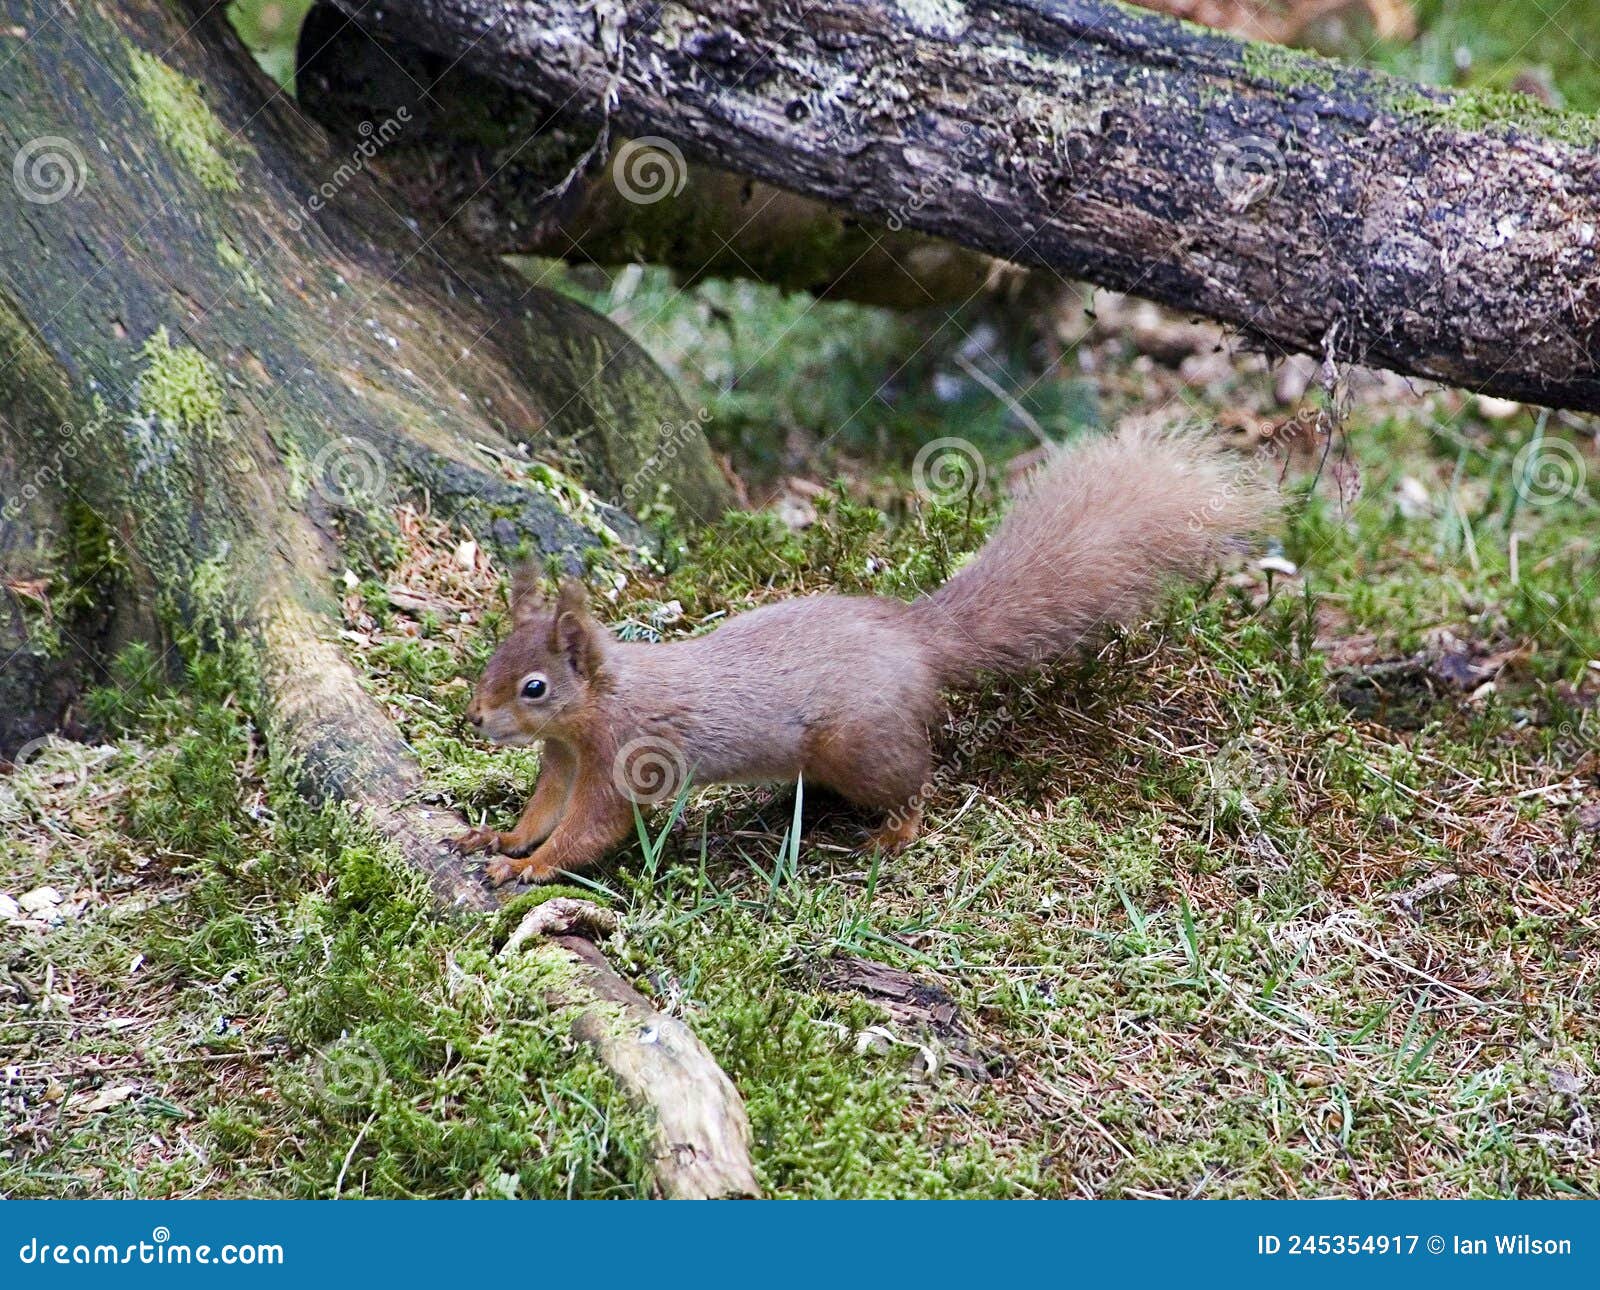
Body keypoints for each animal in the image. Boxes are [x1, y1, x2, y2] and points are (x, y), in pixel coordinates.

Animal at [452, 426, 1274, 885]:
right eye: (492, 661)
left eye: (533, 687)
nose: (476, 720)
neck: (595, 706)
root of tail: (914, 637)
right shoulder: (562, 760)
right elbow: (543, 810)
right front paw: (501, 836)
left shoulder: (623, 758)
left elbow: (587, 831)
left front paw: (527, 867)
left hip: (861, 745)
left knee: (918, 779)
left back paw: (893, 832)